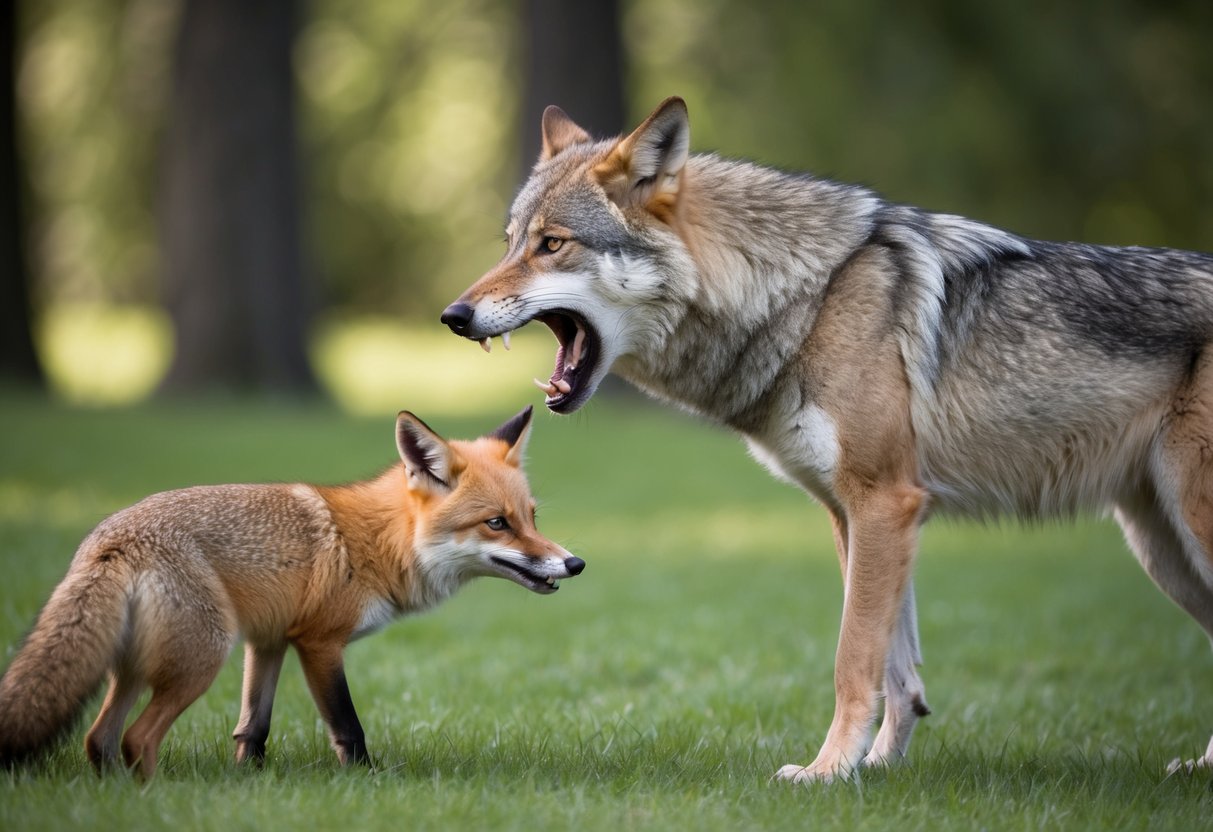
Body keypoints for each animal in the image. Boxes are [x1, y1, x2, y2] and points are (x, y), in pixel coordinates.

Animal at [0, 406, 584, 778]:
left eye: (531, 518)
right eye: (496, 523)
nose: (575, 563)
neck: (380, 543)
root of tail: (111, 540)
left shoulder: (270, 641)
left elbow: (252, 729)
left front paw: (249, 784)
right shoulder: (317, 643)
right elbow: (348, 727)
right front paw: (365, 784)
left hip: (135, 668)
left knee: (98, 740)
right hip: (199, 659)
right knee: (135, 738)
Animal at [441, 96, 1213, 782]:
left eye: (552, 244)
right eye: (510, 242)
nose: (453, 315)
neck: (808, 299)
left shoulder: (884, 504)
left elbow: (852, 661)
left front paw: (825, 772)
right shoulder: (854, 515)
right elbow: (895, 674)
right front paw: (874, 769)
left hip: (1186, 532)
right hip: (1161, 549)